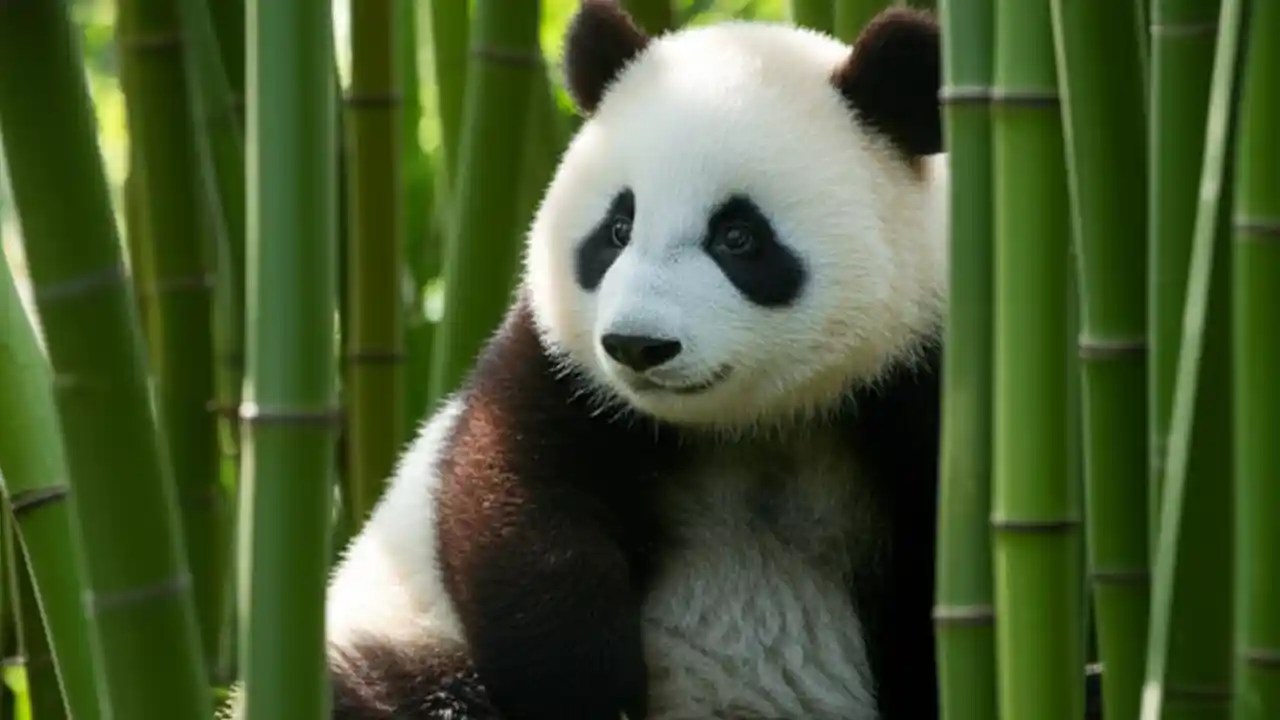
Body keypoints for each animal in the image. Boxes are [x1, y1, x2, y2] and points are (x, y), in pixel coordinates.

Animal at [325, 2, 946, 719]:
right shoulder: (560, 375)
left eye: (738, 237)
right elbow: (516, 515)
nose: (637, 345)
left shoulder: (913, 380)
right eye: (617, 230)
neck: (750, 426)